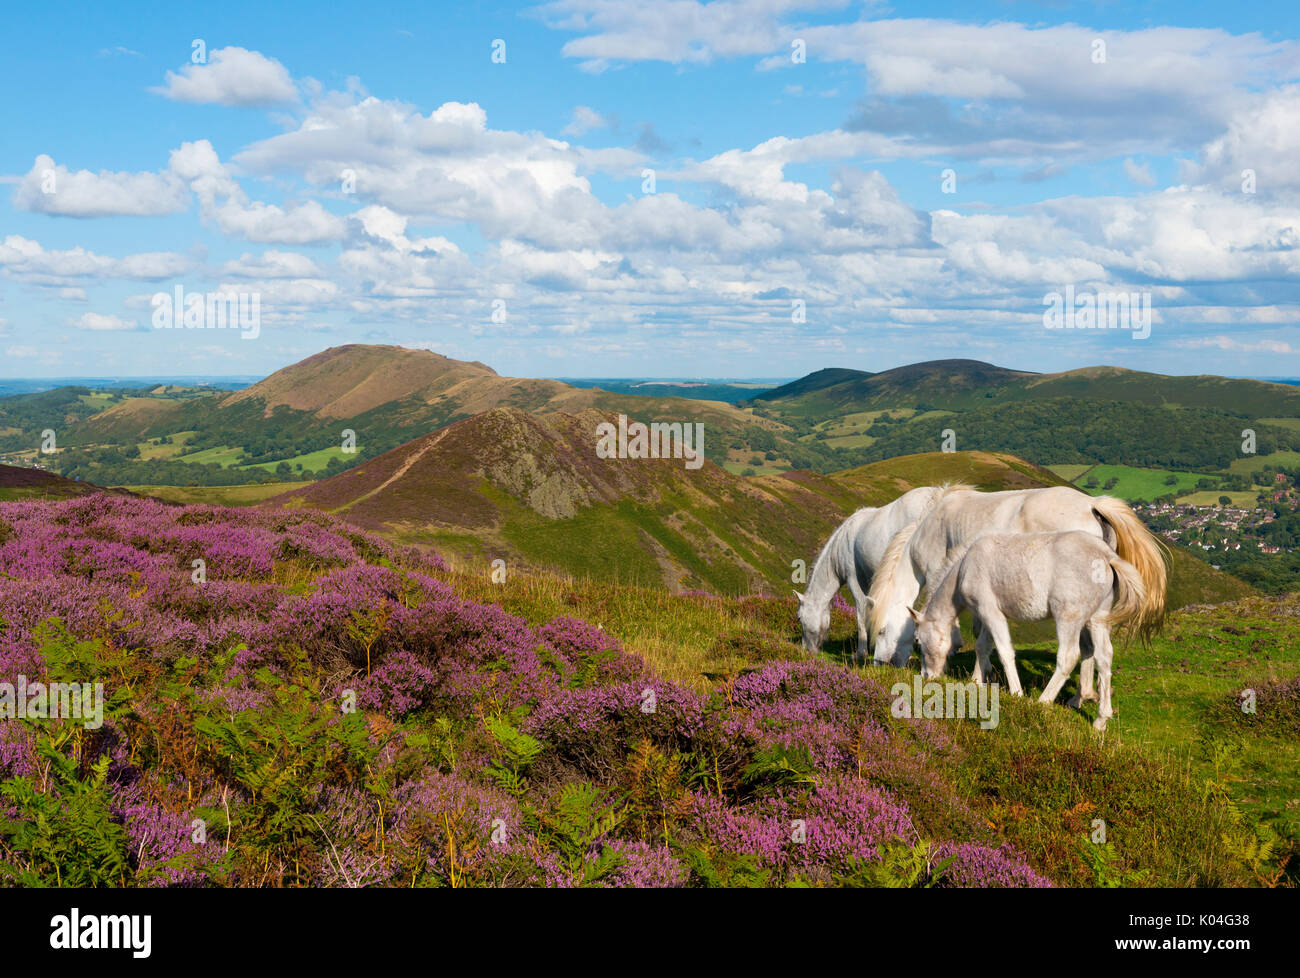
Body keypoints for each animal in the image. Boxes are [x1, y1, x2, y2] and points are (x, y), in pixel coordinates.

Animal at [912, 530, 1147, 731]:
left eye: (919, 642)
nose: (927, 676)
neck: (964, 567)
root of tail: (1106, 555)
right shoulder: (988, 614)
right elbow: (982, 647)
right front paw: (976, 681)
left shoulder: (991, 612)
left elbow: (1004, 652)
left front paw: (1017, 694)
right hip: (1099, 618)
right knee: (1104, 657)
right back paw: (1101, 720)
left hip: (1068, 618)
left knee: (1069, 657)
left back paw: (1042, 702)